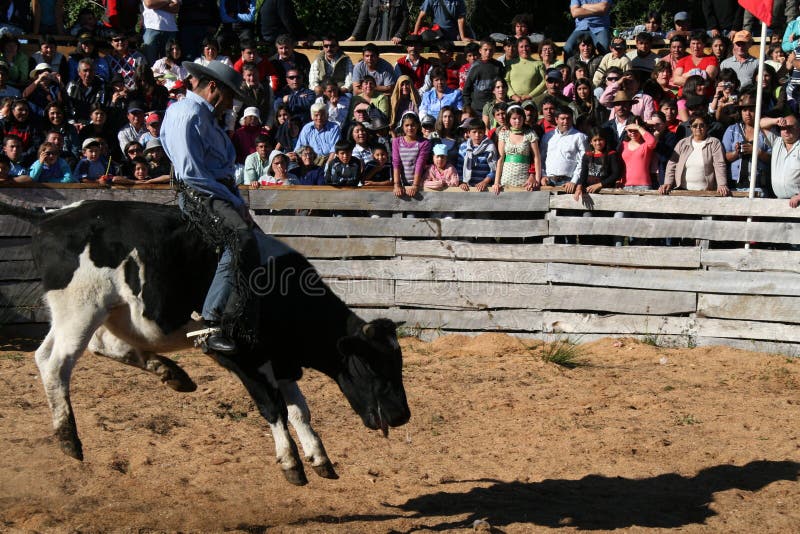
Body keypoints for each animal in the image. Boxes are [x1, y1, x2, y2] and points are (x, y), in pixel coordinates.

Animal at [1, 199, 410, 485]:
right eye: (373, 366)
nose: (402, 416)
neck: (280, 292)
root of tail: (50, 217)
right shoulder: (243, 357)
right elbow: (273, 407)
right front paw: (292, 463)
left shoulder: (278, 358)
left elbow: (299, 409)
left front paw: (319, 457)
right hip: (80, 307)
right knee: (54, 362)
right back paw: (68, 438)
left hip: (104, 312)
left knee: (97, 345)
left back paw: (170, 372)